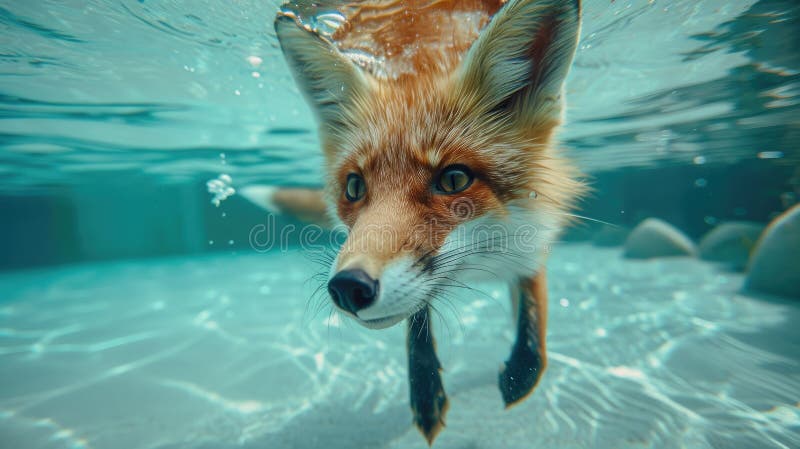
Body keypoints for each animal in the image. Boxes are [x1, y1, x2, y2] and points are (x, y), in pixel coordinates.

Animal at [260, 0, 584, 444]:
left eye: (454, 179)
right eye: (355, 187)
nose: (348, 287)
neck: (480, 262)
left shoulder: (538, 228)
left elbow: (533, 303)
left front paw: (522, 370)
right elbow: (417, 316)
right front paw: (426, 389)